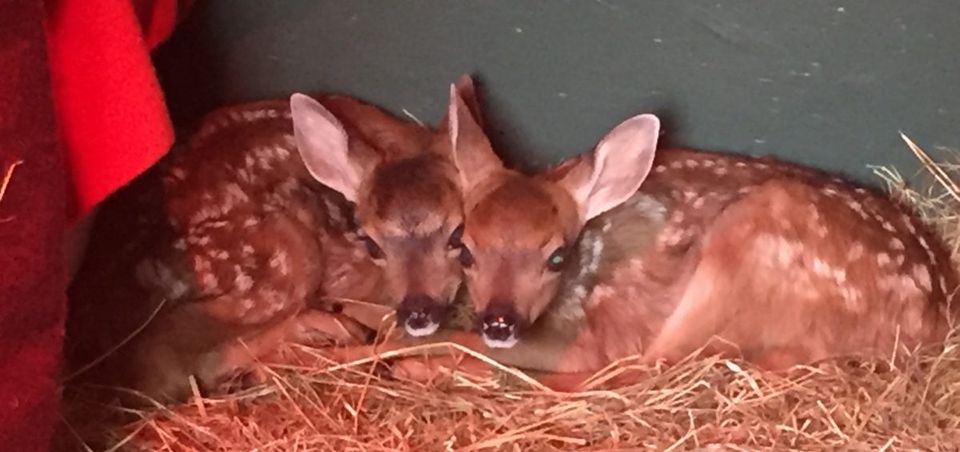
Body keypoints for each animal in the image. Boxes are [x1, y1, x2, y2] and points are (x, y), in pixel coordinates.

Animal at [329, 84, 958, 390]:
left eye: (556, 255)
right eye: (466, 246)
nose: (500, 321)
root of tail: (933, 318)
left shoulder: (594, 336)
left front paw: (359, 357)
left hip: (746, 251)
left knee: (643, 370)